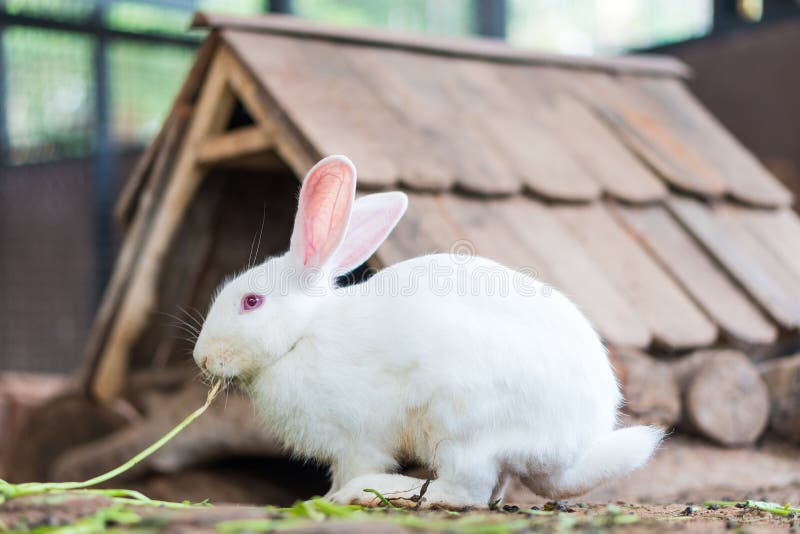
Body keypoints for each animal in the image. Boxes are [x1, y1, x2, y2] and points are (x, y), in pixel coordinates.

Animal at [193, 155, 664, 508]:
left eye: (251, 302)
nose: (202, 357)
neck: (303, 333)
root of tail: (571, 450)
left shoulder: (357, 441)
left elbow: (353, 468)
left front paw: (329, 499)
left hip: (464, 427)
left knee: (465, 491)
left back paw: (385, 493)